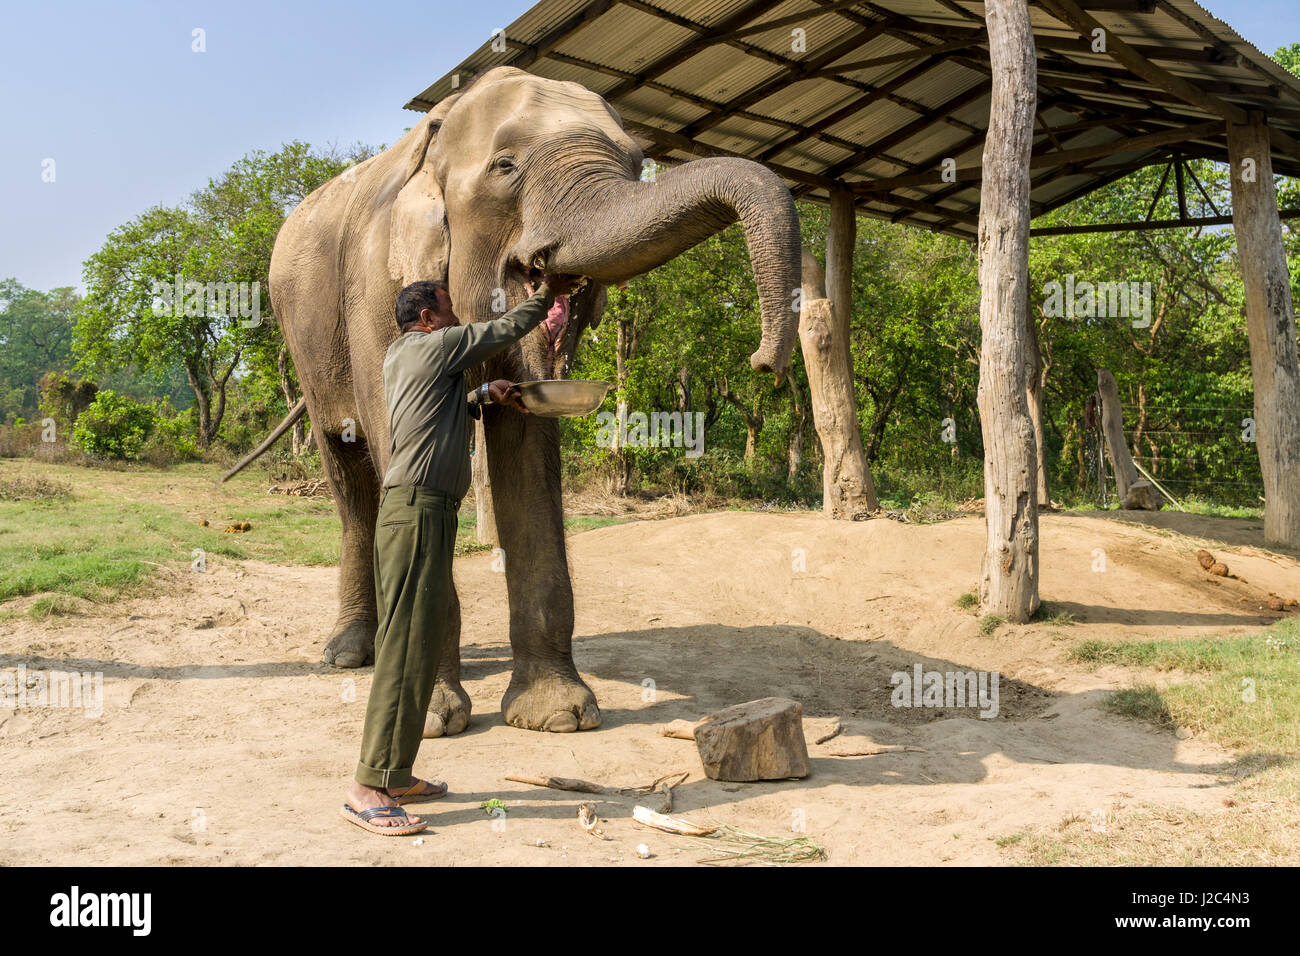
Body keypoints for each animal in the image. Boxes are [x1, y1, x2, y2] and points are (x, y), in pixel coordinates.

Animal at [229, 65, 801, 735]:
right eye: (505, 167)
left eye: (637, 162)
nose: (765, 362)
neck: (438, 130)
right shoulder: (374, 293)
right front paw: (434, 720)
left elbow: (526, 447)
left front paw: (559, 716)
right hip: (306, 342)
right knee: (349, 477)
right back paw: (349, 656)